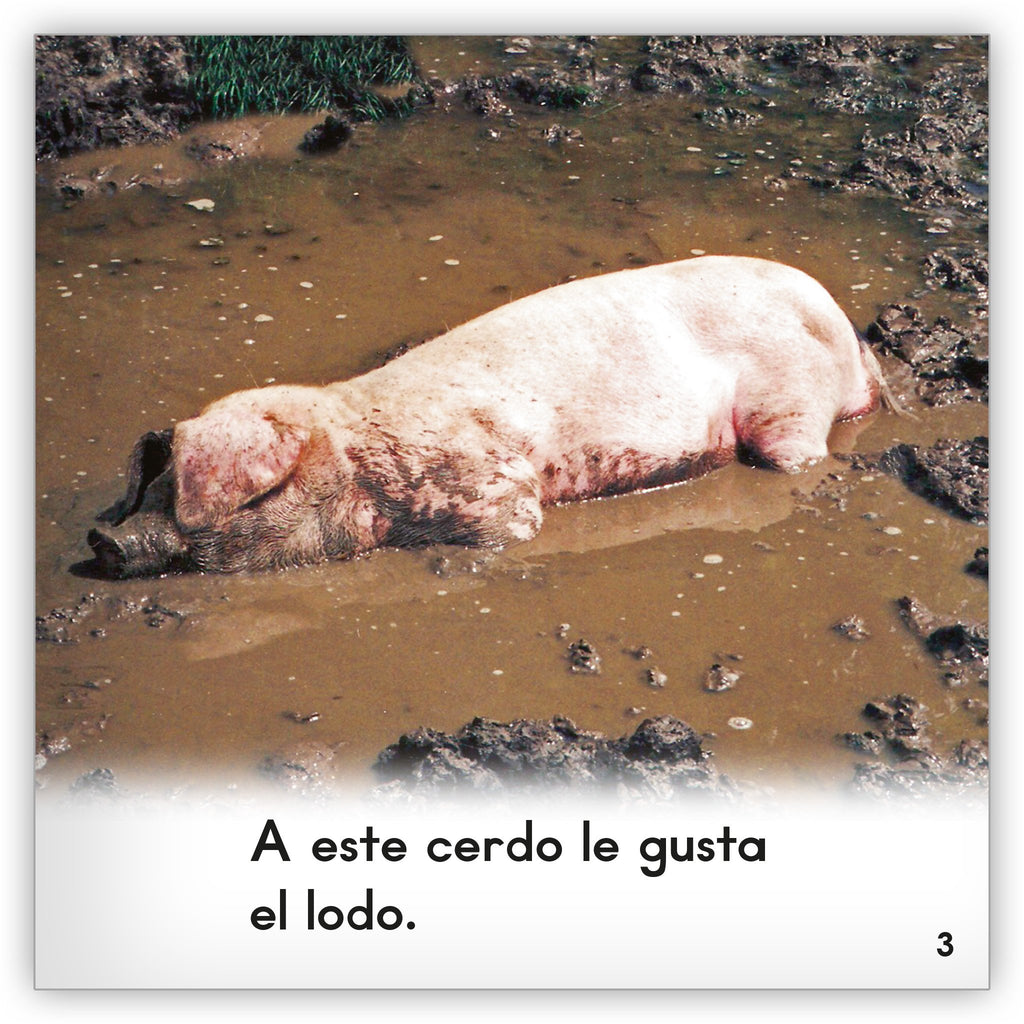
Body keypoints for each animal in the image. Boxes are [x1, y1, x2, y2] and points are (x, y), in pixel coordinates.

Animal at [87, 255, 893, 577]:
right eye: (153, 484)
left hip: (787, 407)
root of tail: (843, 325)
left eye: (251, 499)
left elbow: (513, 523)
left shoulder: (497, 484)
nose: (104, 538)